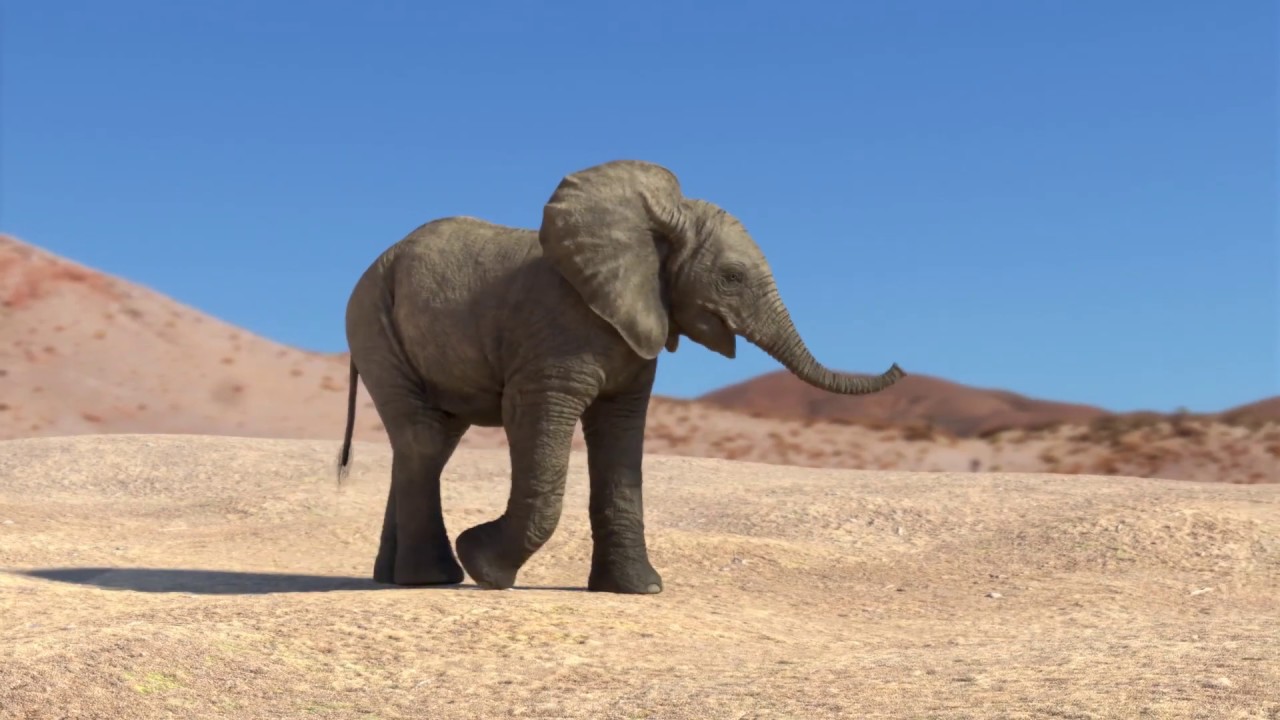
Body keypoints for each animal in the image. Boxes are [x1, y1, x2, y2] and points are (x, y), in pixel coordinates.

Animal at [336, 159, 905, 595]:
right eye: (731, 278)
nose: (899, 365)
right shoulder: (553, 336)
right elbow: (536, 420)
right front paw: (485, 567)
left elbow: (620, 436)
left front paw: (639, 589)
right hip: (372, 321)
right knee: (424, 438)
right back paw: (432, 578)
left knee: (428, 443)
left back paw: (399, 578)